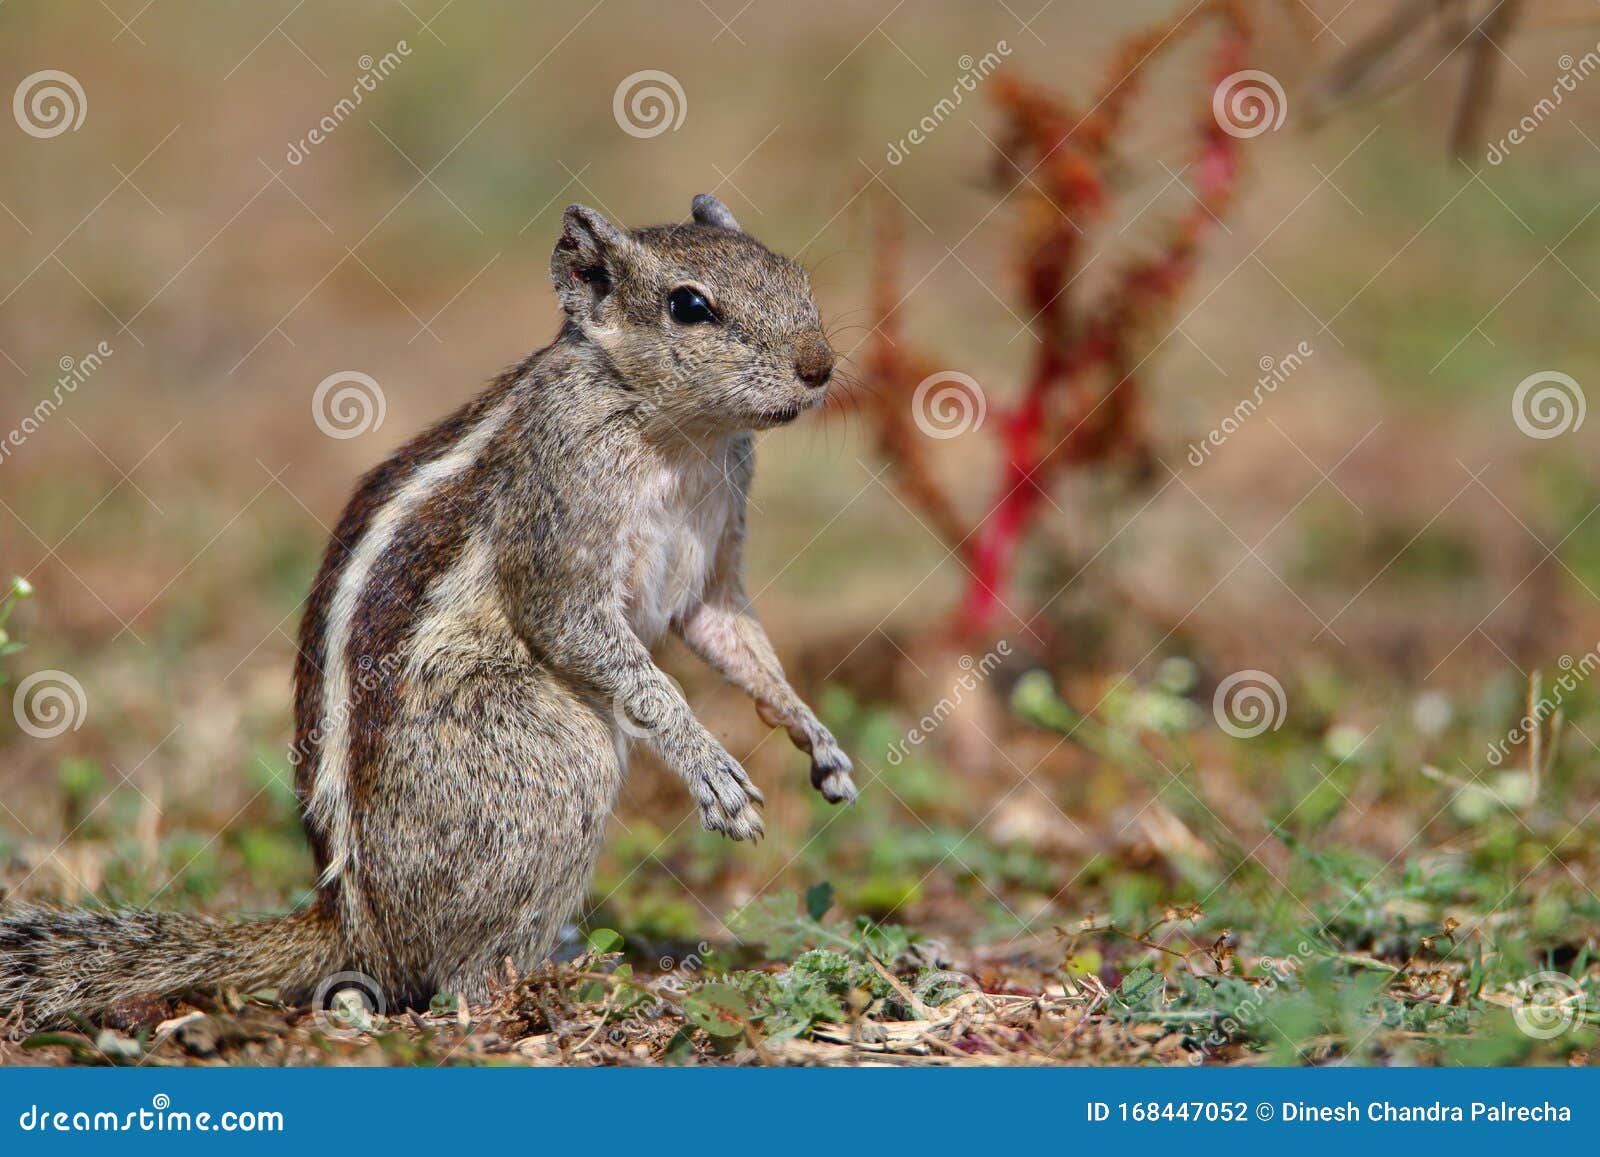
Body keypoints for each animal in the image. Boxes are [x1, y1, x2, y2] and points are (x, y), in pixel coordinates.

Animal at [0, 194, 856, 1029]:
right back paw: (565, 982)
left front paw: (816, 738)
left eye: (795, 273)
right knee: (459, 978)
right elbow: (589, 636)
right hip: (548, 755)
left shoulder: (716, 564)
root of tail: (354, 925)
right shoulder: (558, 516)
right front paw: (709, 766)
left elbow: (731, 634)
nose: (819, 365)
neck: (676, 427)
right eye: (689, 306)